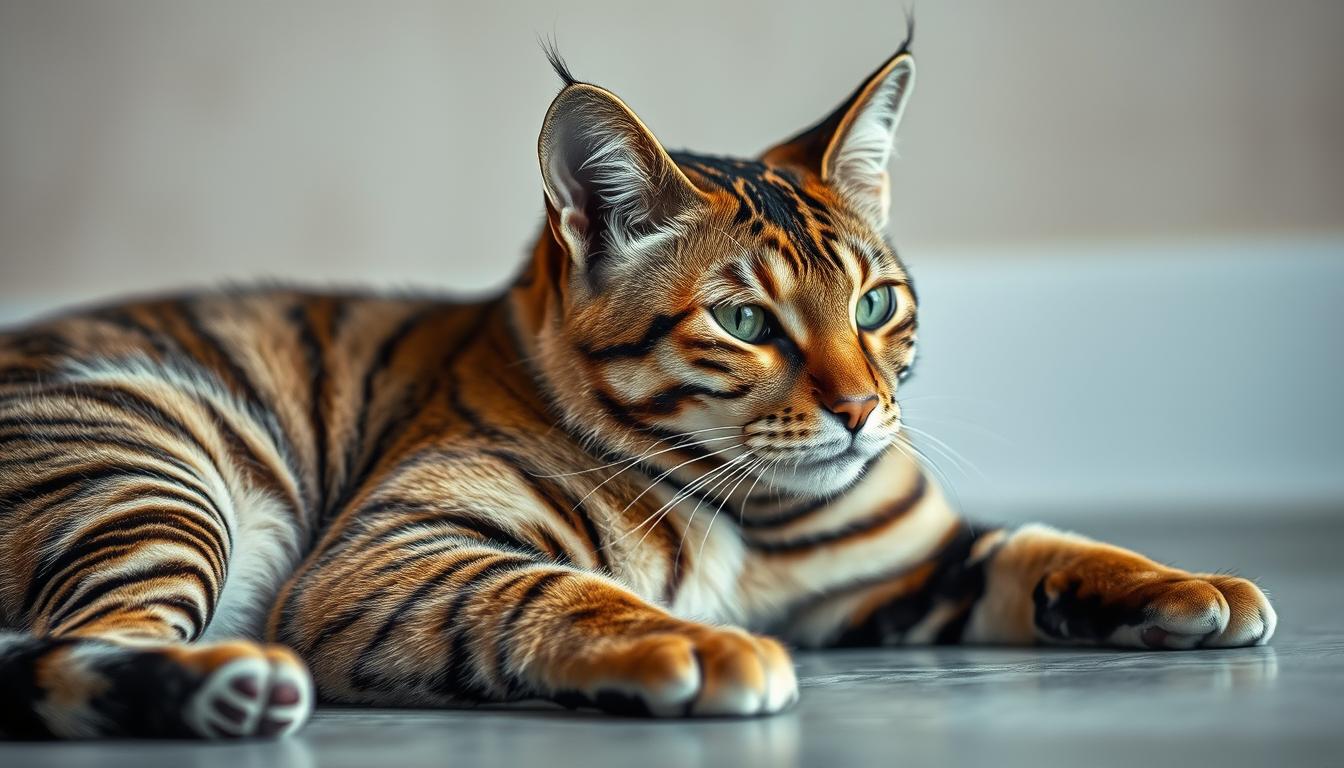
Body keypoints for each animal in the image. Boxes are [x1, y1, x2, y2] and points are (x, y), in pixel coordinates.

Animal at [0, 29, 1275, 740]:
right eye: (746, 321)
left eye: (875, 305)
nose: (864, 410)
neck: (759, 523)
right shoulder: (388, 549)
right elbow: (556, 592)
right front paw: (704, 647)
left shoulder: (896, 567)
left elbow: (1046, 546)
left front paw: (1188, 584)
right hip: (154, 461)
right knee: (56, 654)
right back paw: (226, 686)